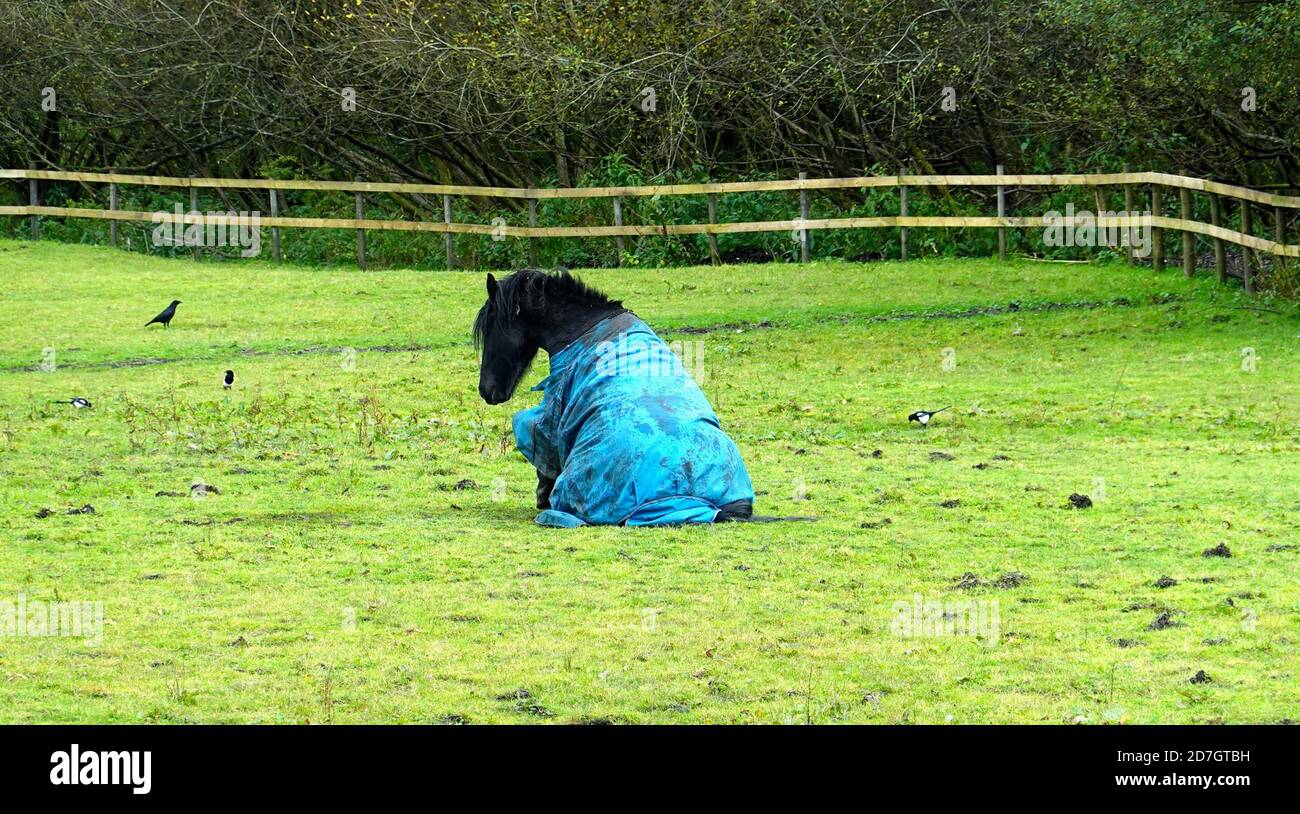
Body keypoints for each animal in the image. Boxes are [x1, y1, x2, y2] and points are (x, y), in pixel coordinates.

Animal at [474, 269, 755, 527]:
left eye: (490, 327)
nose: (486, 390)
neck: (580, 326)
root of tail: (704, 506)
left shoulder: (554, 407)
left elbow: (544, 444)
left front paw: (543, 495)